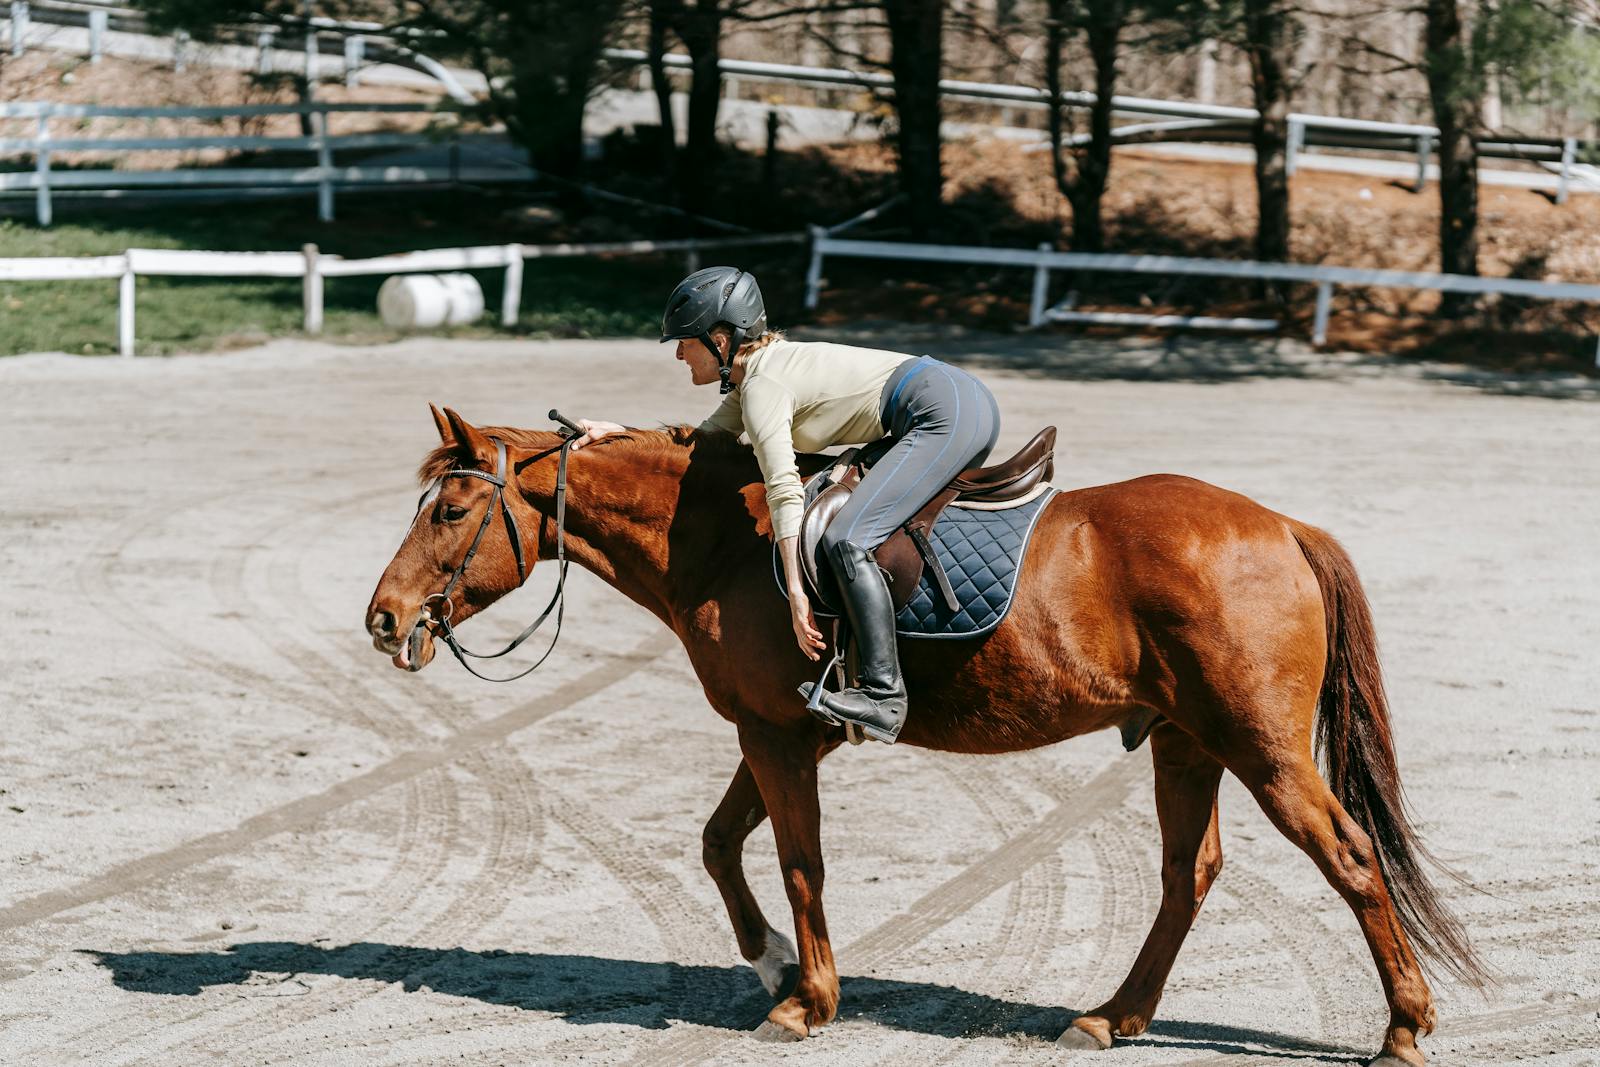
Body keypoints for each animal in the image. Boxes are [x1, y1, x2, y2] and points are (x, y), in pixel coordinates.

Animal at [365, 405, 1485, 1065]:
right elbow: (720, 844)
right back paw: (1113, 1014)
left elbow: (798, 860)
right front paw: (771, 963)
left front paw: (806, 998)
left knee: (1349, 857)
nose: (383, 617)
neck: (725, 538)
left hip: (1262, 751)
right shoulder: (780, 730)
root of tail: (1283, 526)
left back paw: (1401, 1026)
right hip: (1185, 740)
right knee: (1188, 872)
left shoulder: (779, 738)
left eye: (452, 508)